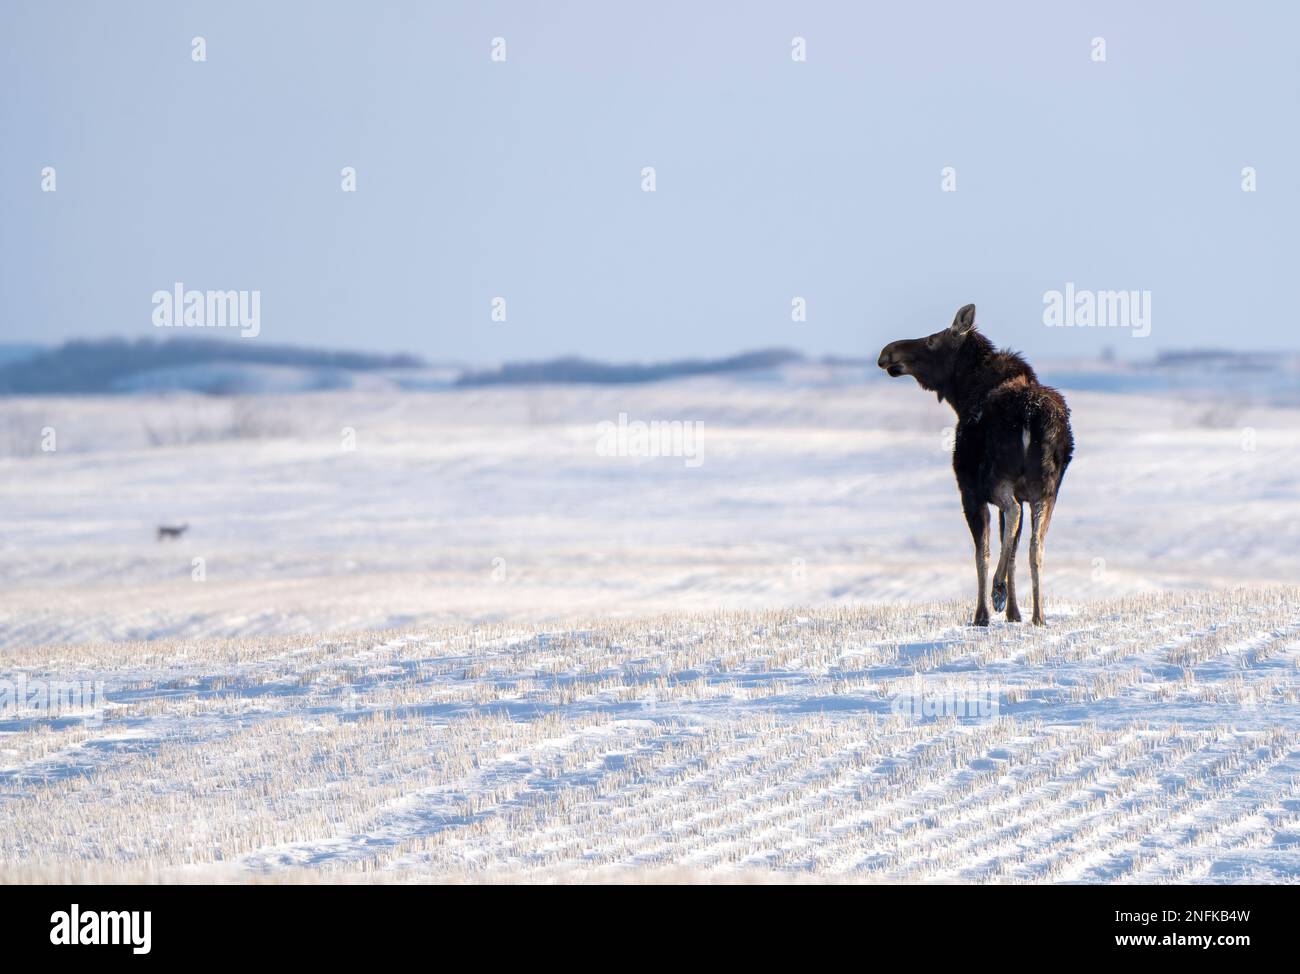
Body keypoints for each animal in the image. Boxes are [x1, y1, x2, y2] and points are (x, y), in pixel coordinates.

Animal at [877, 304, 1073, 626]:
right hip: (1048, 488)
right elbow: (1013, 548)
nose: (887, 353)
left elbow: (981, 552)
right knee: (1036, 545)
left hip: (995, 478)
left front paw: (983, 613)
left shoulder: (968, 489)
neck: (962, 395)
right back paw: (1038, 615)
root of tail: (1031, 415)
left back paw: (997, 590)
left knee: (1013, 514)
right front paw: (1014, 613)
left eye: (932, 340)